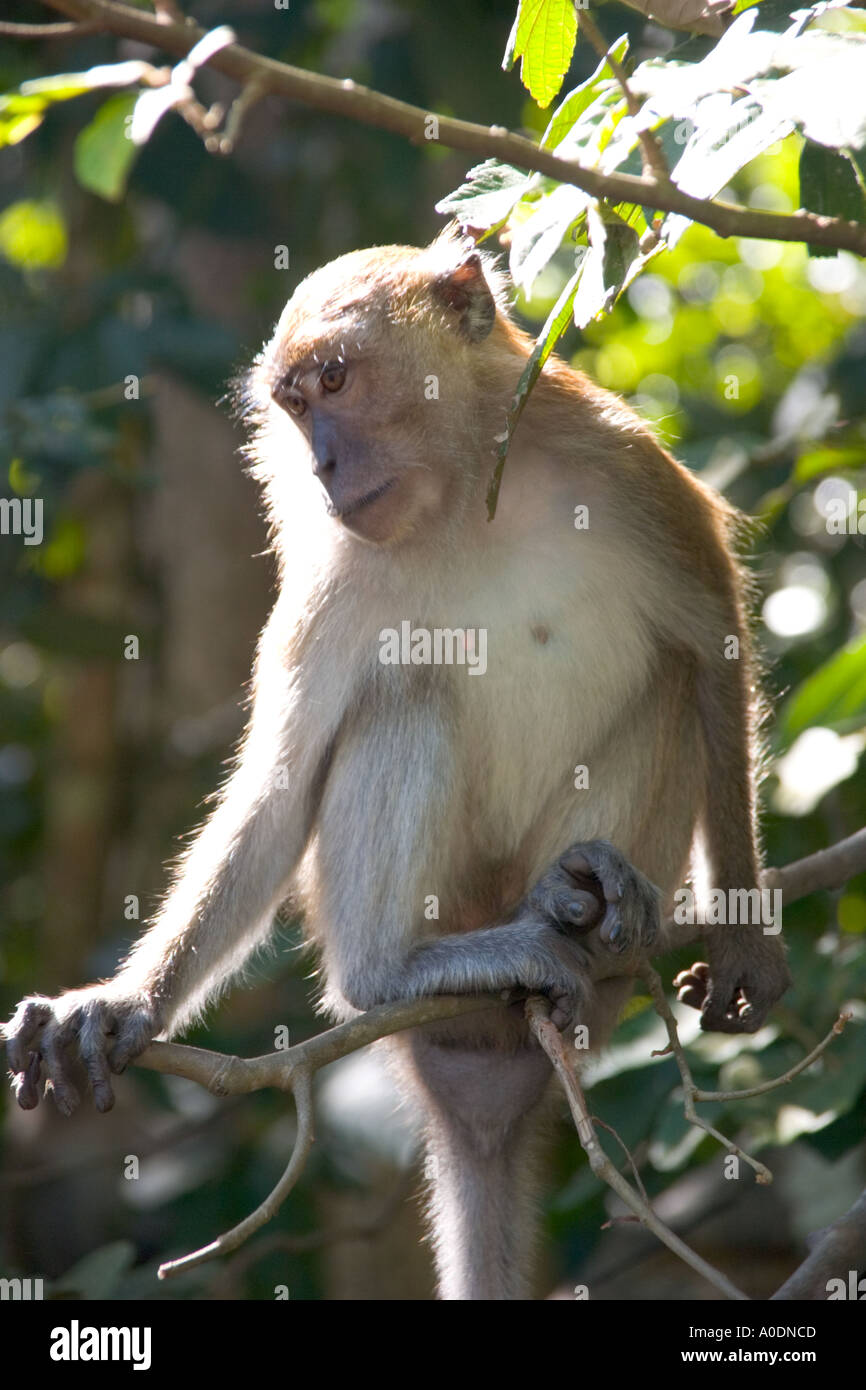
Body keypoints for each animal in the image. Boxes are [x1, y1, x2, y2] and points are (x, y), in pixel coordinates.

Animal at [3, 225, 791, 1301]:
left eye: (336, 380)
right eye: (295, 404)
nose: (323, 464)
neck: (467, 501)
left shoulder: (624, 465)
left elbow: (712, 649)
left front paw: (745, 927)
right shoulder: (333, 571)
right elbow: (282, 783)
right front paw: (125, 1001)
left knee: (668, 685)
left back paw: (586, 906)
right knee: (404, 698)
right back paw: (406, 971)